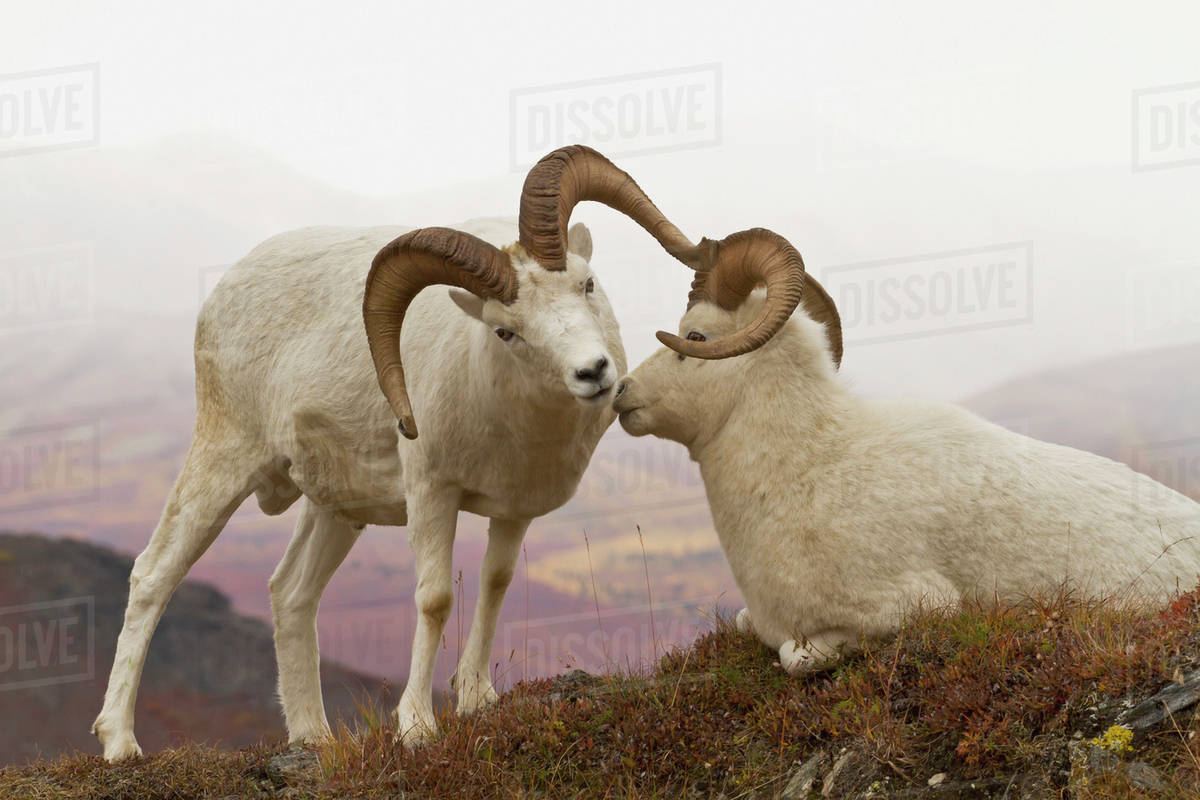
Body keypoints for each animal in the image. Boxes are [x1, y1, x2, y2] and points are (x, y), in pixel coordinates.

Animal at [92, 145, 706, 762]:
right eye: (506, 331)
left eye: (586, 284)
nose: (593, 372)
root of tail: (221, 293)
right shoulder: (432, 494)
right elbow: (433, 599)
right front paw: (416, 726)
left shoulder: (513, 510)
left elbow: (495, 583)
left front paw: (476, 696)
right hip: (223, 461)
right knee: (153, 576)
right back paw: (120, 743)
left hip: (335, 510)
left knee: (290, 594)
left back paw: (314, 737)